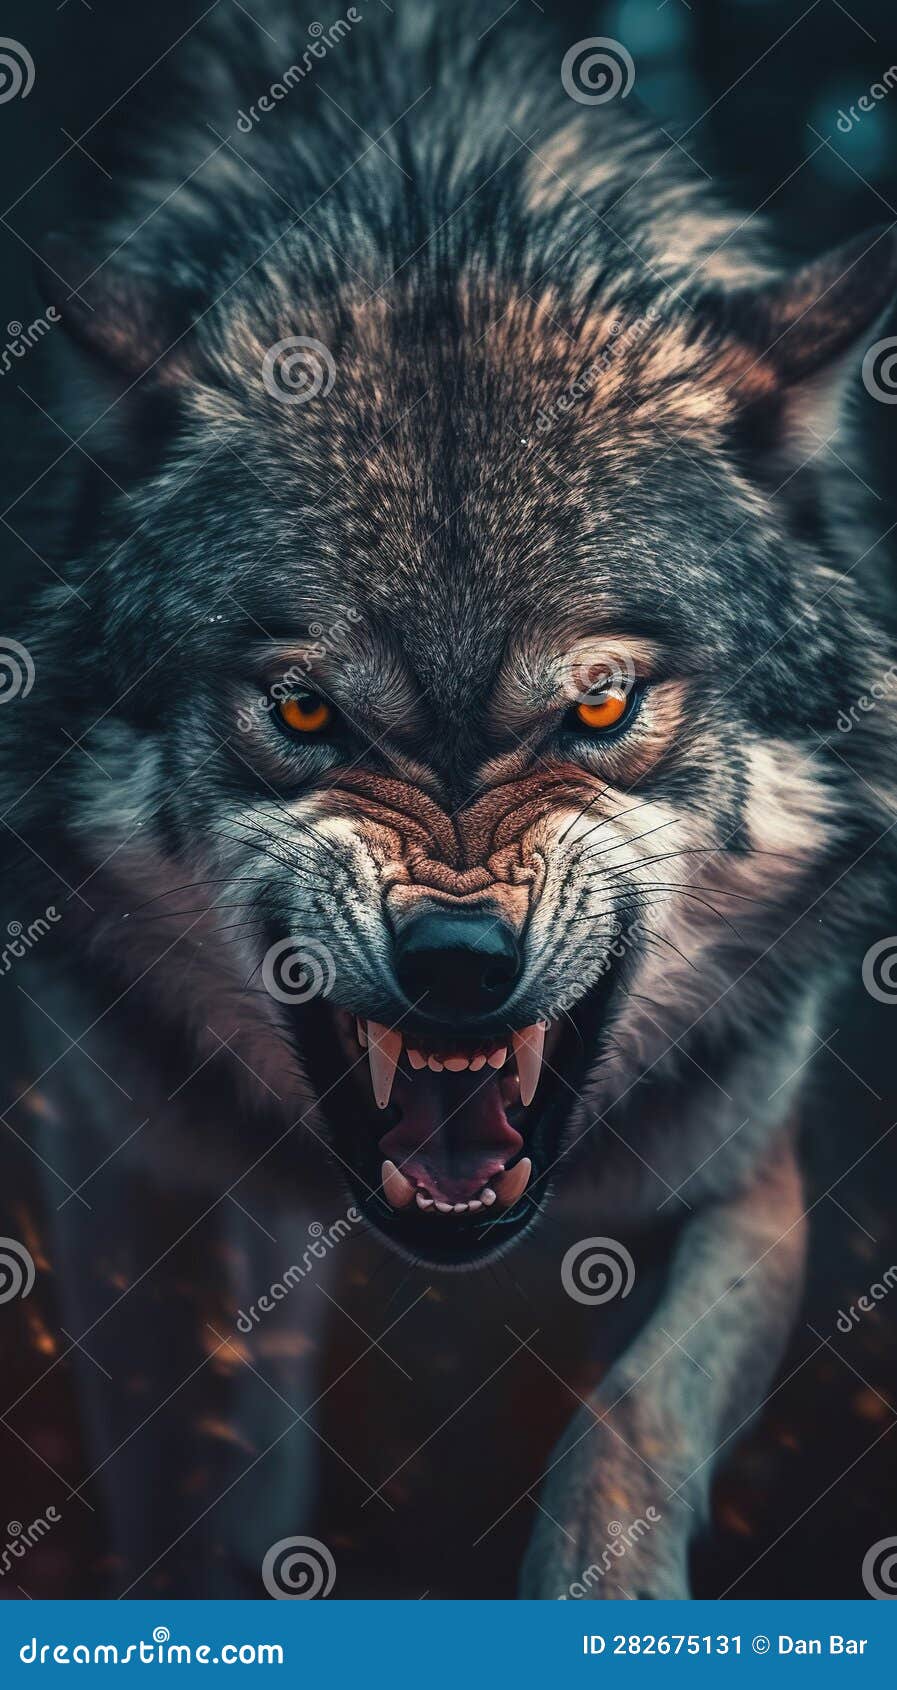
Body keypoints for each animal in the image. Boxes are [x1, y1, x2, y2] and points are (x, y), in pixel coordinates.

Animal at [2, 0, 896, 1598]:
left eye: (599, 705)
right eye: (306, 709)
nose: (461, 965)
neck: (437, 208)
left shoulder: (738, 1169)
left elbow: (626, 1426)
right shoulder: (119, 1165)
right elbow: (194, 1508)